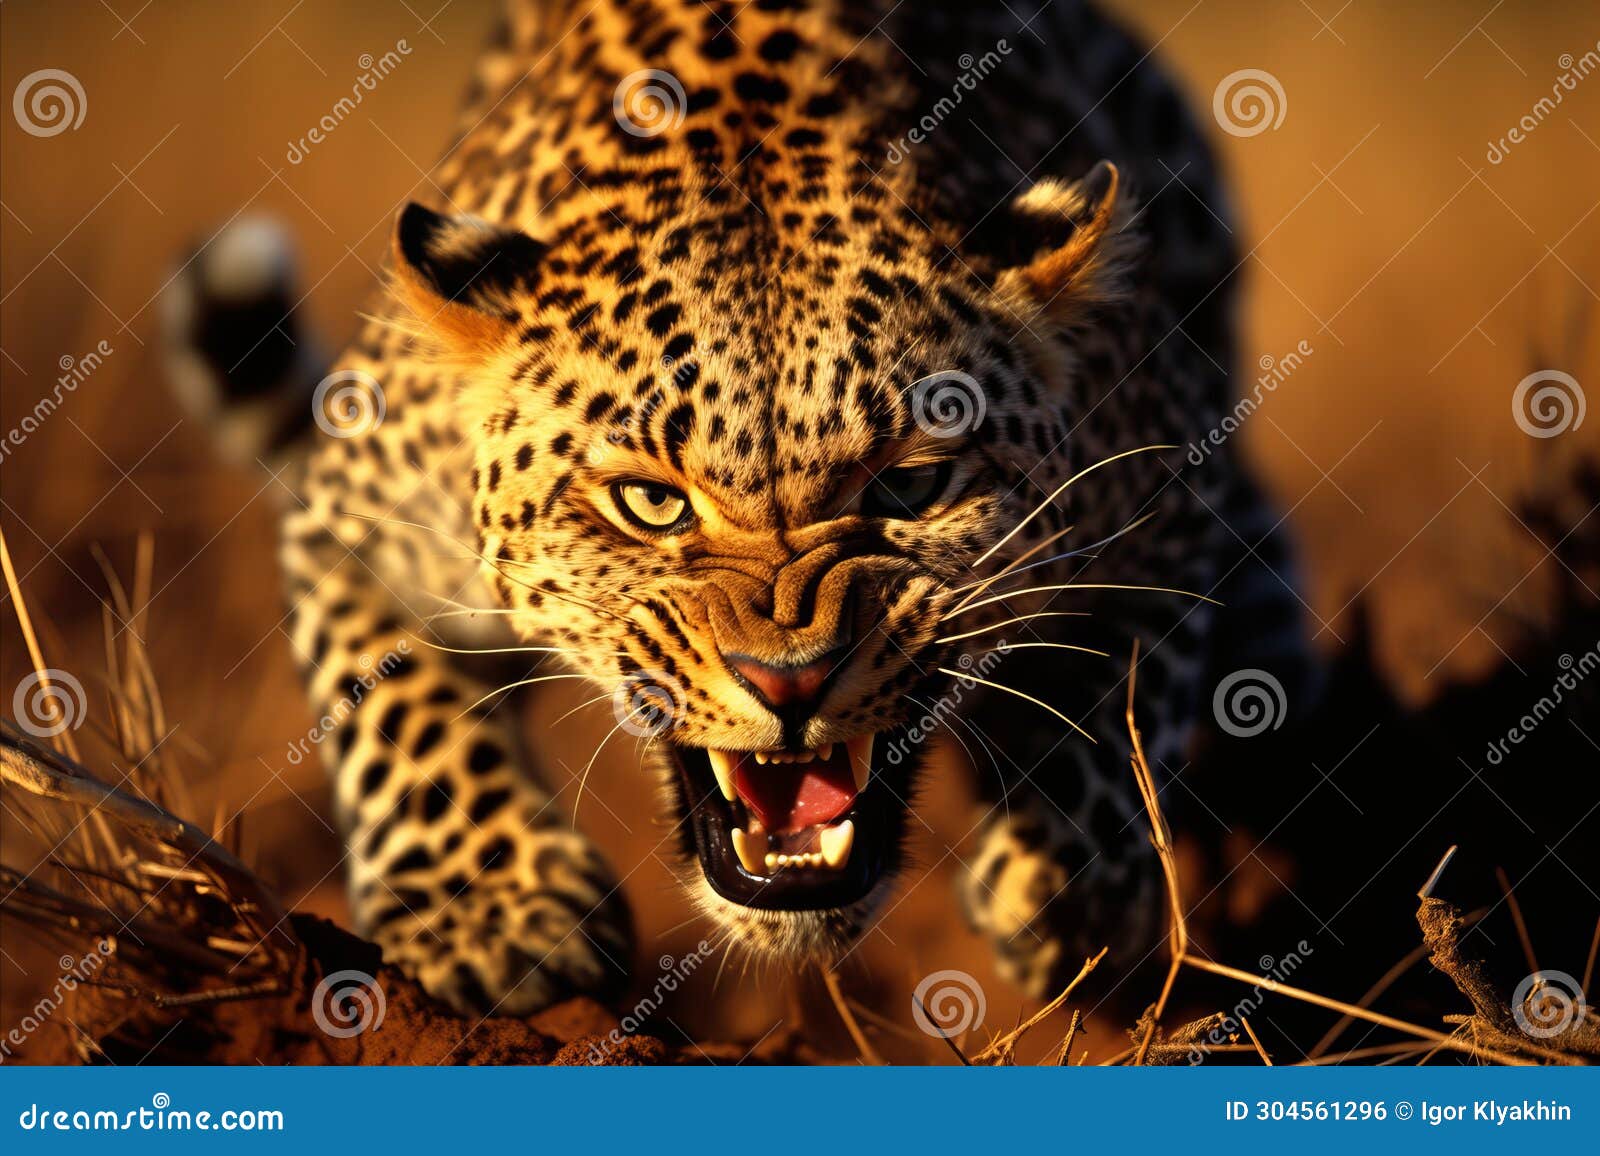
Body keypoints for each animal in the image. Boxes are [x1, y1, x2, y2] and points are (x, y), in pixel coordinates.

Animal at [164, 0, 1314, 1017]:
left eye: (909, 486)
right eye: (649, 502)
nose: (788, 681)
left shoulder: (1166, 506)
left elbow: (1116, 705)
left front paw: (1066, 887)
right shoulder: (348, 523)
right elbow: (403, 720)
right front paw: (490, 914)